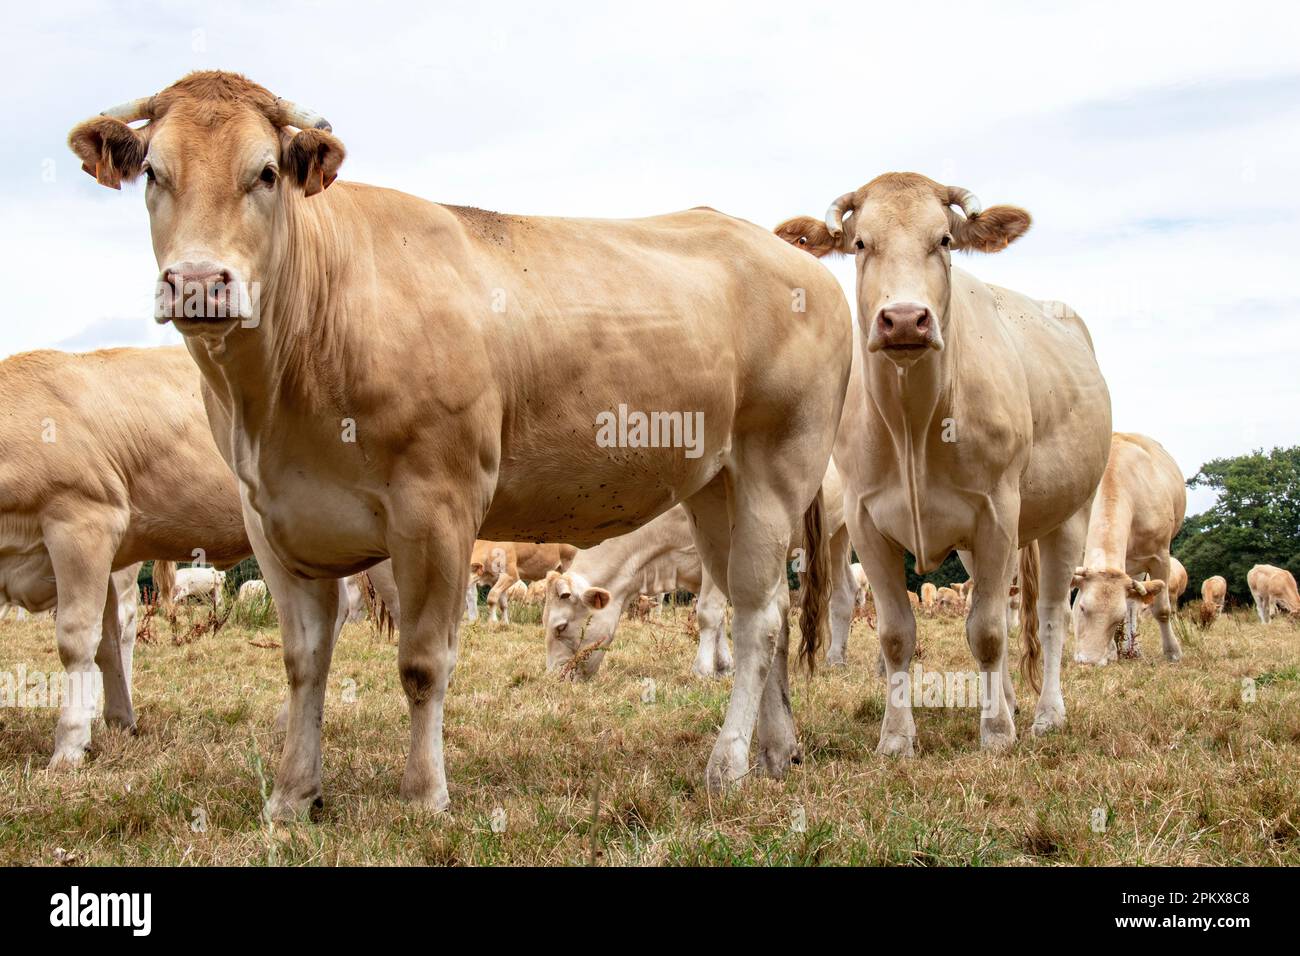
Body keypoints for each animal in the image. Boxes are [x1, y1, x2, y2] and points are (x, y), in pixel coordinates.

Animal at [70, 71, 850, 814]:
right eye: (153, 172)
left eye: (264, 172)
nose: (199, 283)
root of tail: (795, 259)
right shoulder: (274, 519)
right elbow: (304, 663)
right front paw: (292, 794)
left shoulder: (437, 506)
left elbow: (422, 663)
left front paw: (424, 793)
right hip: (718, 489)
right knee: (764, 612)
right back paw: (776, 749)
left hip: (777, 467)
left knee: (756, 621)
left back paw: (727, 764)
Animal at [777, 171, 1112, 753]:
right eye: (860, 243)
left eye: (945, 240)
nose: (904, 320)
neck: (914, 423)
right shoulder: (866, 521)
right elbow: (896, 635)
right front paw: (896, 738)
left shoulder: (998, 512)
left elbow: (989, 632)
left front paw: (996, 733)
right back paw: (1010, 700)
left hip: (1071, 512)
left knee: (1050, 615)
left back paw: (1046, 713)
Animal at [1072, 433, 1186, 664]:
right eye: (1082, 608)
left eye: (1116, 619)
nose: (1090, 661)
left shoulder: (1160, 557)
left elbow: (1161, 610)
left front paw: (1172, 652)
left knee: (1134, 606)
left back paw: (1133, 648)